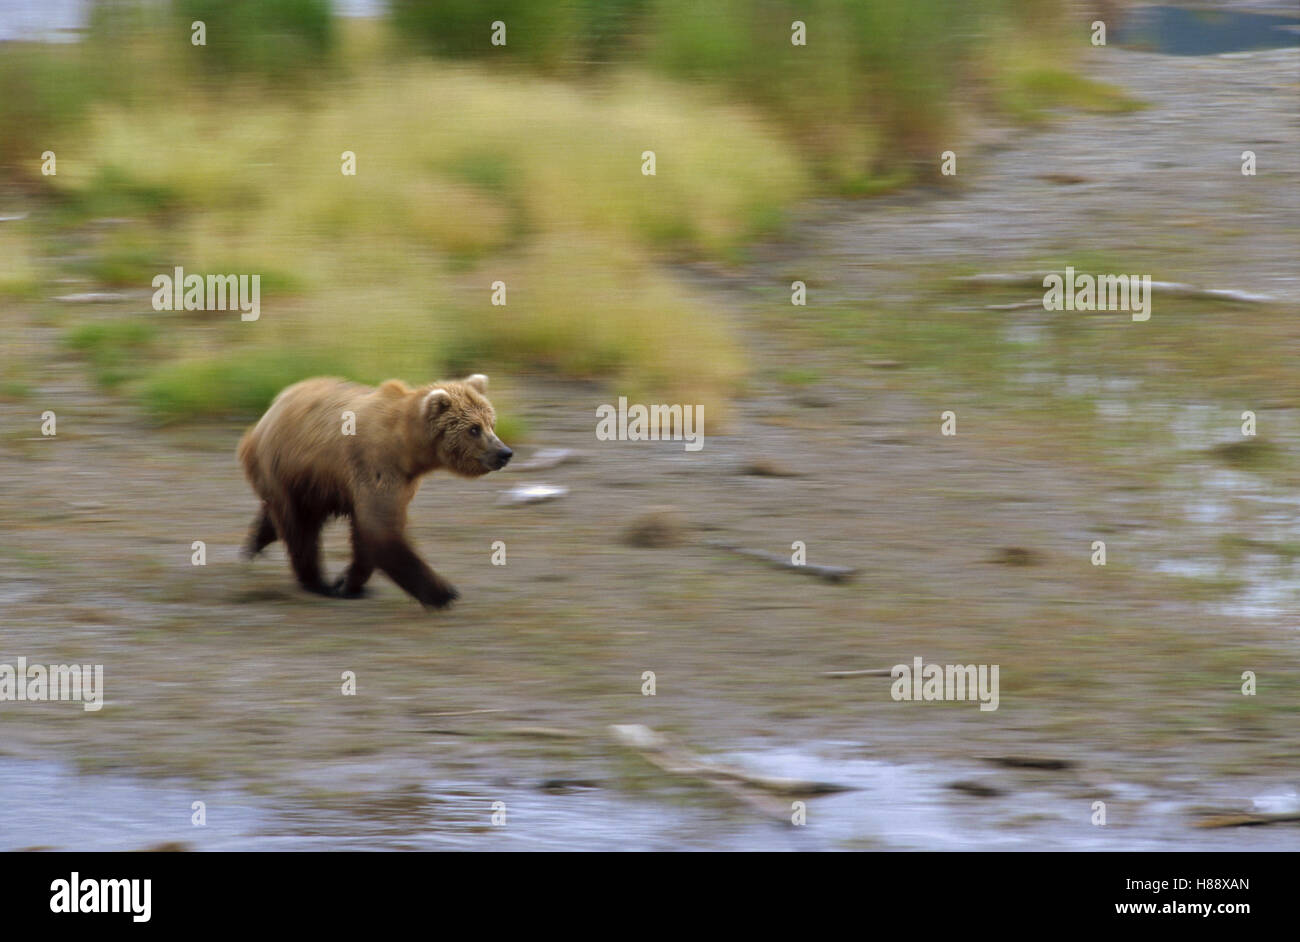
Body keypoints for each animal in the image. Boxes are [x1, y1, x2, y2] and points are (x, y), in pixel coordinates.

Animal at [237, 373, 511, 608]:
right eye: (474, 428)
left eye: (492, 423)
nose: (504, 452)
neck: (408, 448)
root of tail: (267, 413)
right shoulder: (376, 465)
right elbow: (380, 529)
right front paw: (443, 592)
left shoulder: (401, 481)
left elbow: (368, 533)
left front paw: (350, 583)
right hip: (289, 467)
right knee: (299, 525)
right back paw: (315, 581)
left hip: (312, 482)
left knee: (284, 515)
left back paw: (255, 542)